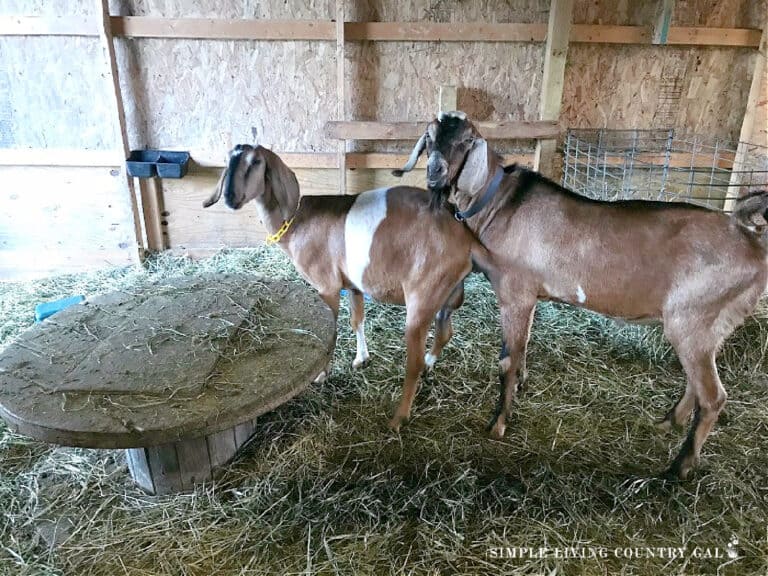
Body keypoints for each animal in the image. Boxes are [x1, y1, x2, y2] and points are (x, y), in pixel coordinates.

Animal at [204, 144, 493, 430]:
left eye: (255, 162)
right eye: (228, 162)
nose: (230, 197)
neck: (296, 221)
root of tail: (467, 240)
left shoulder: (327, 286)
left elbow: (331, 331)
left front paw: (322, 374)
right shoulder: (354, 284)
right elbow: (357, 321)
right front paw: (361, 359)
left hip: (422, 297)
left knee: (414, 360)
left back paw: (399, 418)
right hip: (448, 294)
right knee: (445, 333)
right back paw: (428, 368)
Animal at [395, 112, 768, 480]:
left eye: (465, 141)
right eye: (429, 138)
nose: (434, 172)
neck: (501, 203)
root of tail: (750, 241)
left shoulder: (515, 291)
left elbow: (507, 360)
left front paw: (498, 423)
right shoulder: (529, 297)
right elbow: (521, 349)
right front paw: (519, 389)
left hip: (692, 318)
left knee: (713, 396)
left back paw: (680, 467)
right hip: (710, 326)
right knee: (698, 382)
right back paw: (668, 423)